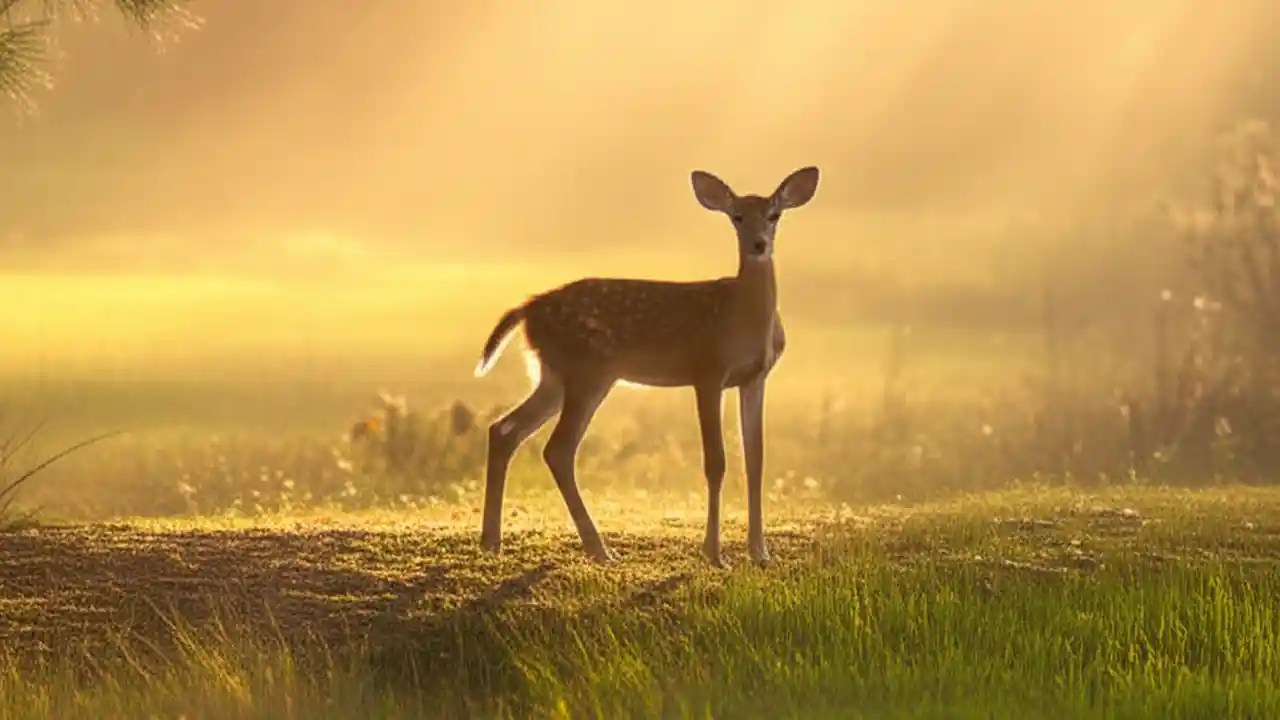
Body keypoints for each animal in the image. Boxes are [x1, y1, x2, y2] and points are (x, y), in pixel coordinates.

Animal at [473, 166, 819, 567]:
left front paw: (761, 554)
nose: (759, 244)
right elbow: (715, 461)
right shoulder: (707, 370)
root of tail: (527, 309)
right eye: (737, 217)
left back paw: (492, 540)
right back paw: (599, 549)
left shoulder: (755, 378)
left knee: (504, 430)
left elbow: (756, 459)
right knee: (557, 449)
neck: (743, 317)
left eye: (773, 215)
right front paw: (714, 554)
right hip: (589, 371)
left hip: (554, 376)